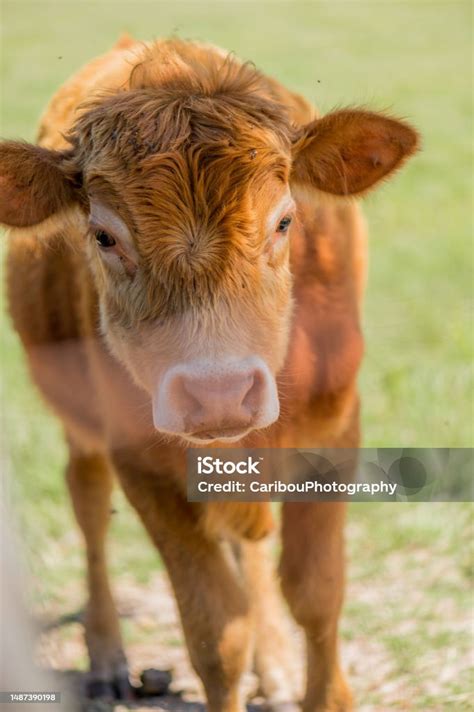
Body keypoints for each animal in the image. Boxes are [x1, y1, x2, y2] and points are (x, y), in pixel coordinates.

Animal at [0, 36, 418, 712]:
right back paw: (107, 658)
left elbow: (316, 592)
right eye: (103, 236)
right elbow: (216, 635)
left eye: (285, 221)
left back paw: (275, 665)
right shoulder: (142, 464)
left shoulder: (336, 430)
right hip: (82, 426)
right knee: (88, 503)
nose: (218, 393)